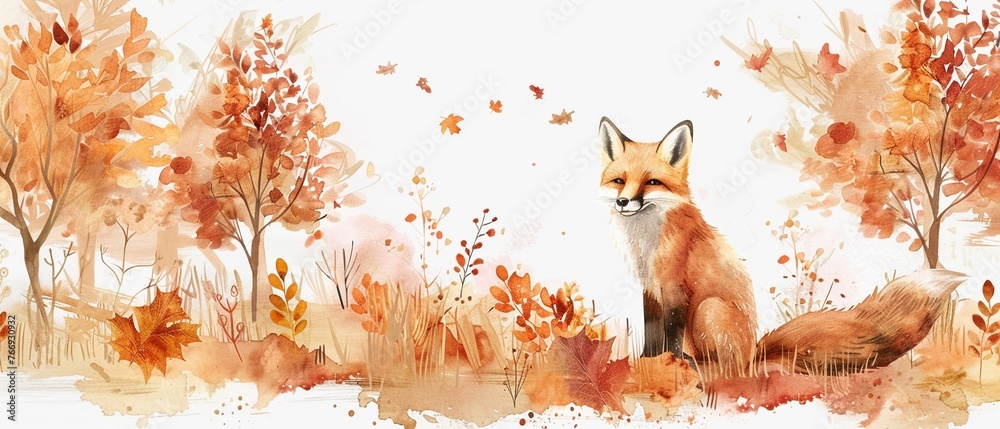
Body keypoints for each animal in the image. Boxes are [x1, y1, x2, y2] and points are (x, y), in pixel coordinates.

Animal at [597, 116, 966, 377]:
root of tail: (754, 352)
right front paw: (646, 362)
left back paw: (701, 366)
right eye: (619, 180)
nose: (623, 202)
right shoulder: (649, 288)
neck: (645, 239)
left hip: (709, 308)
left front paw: (669, 363)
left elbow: (669, 336)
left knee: (729, 369)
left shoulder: (675, 287)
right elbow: (651, 332)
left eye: (651, 182)